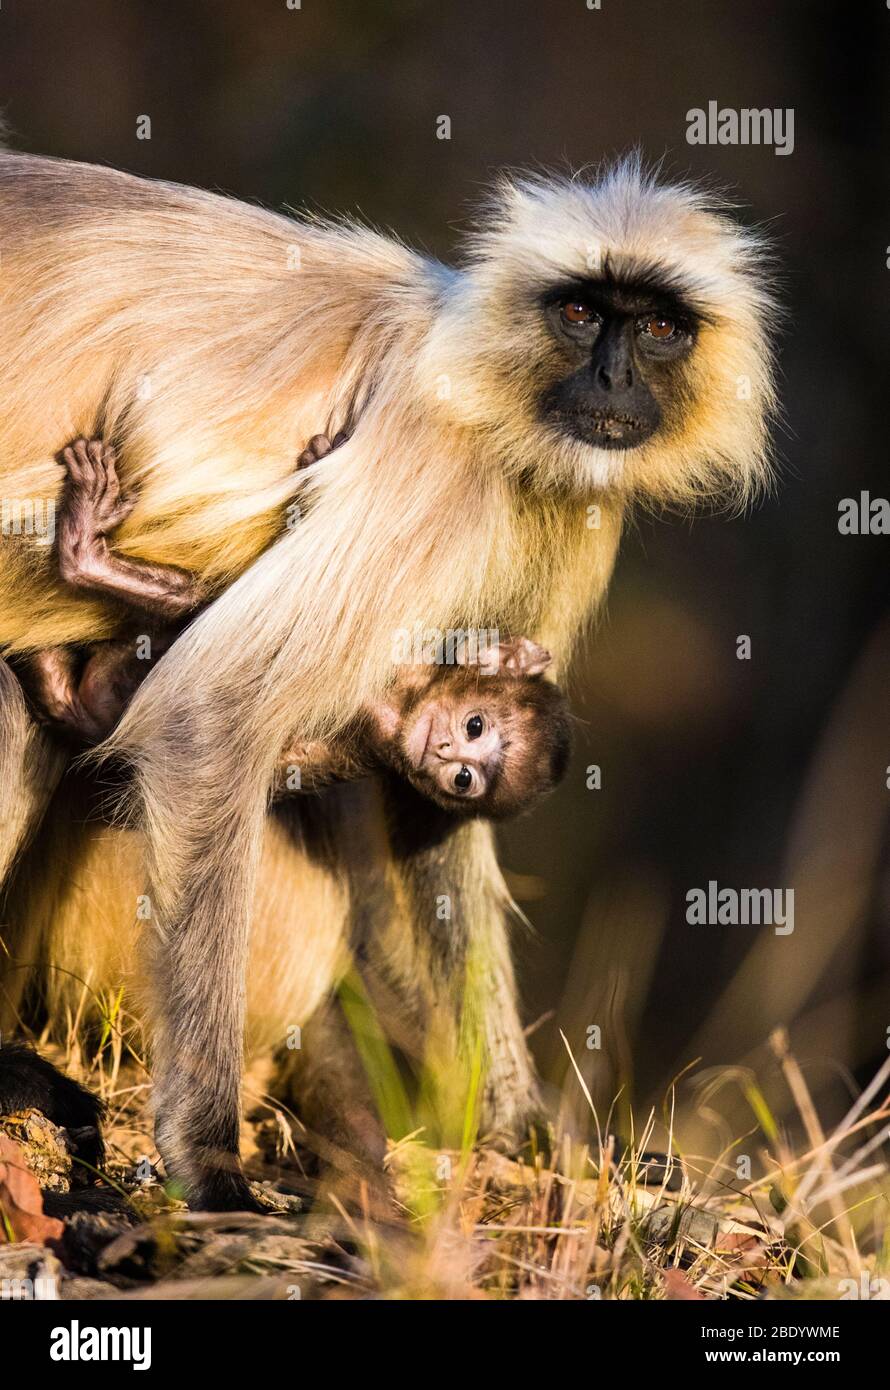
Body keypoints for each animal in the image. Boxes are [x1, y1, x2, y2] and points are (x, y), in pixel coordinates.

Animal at [0, 150, 777, 1209]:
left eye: (657, 327)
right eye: (581, 313)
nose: (612, 376)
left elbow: (428, 819)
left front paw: (534, 1137)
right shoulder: (444, 467)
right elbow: (211, 716)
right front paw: (208, 1161)